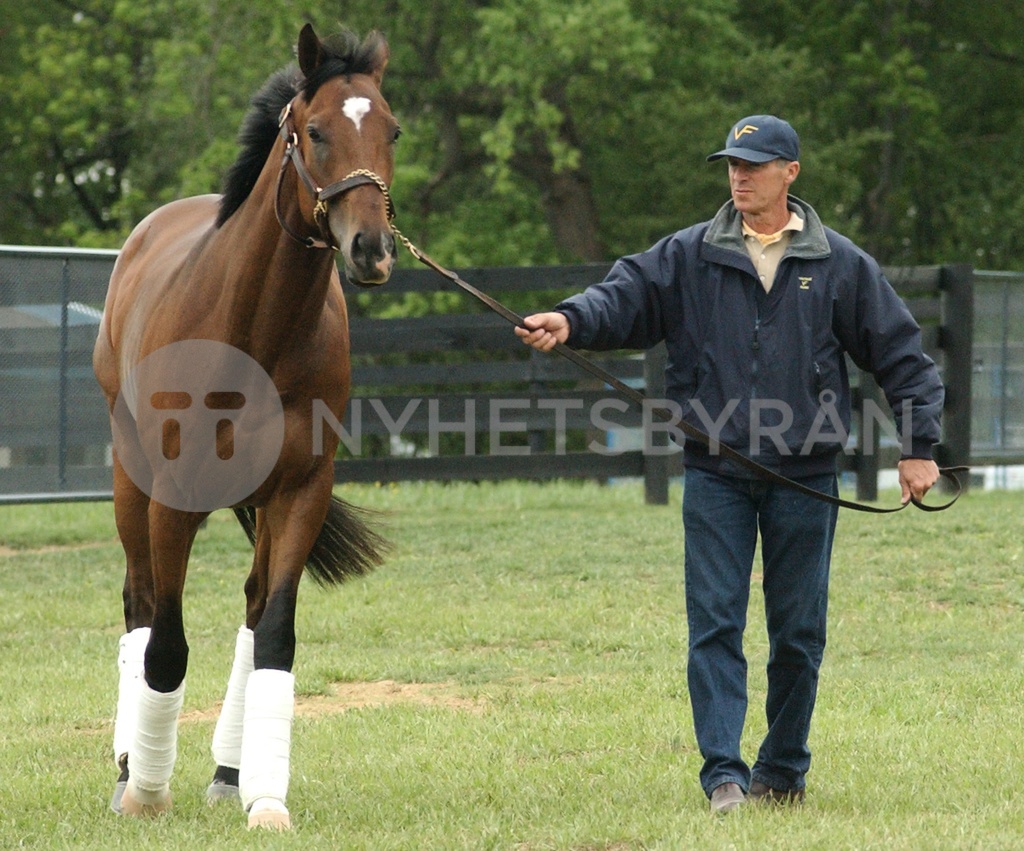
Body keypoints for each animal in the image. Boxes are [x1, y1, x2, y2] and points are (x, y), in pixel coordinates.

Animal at [92, 24, 396, 830]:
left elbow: (275, 634)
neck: (256, 329)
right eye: (314, 131)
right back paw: (130, 763)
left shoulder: (298, 492)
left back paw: (230, 772)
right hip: (131, 482)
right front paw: (147, 793)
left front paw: (263, 796)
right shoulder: (173, 501)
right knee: (140, 604)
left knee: (253, 612)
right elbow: (166, 644)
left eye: (391, 130)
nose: (372, 248)